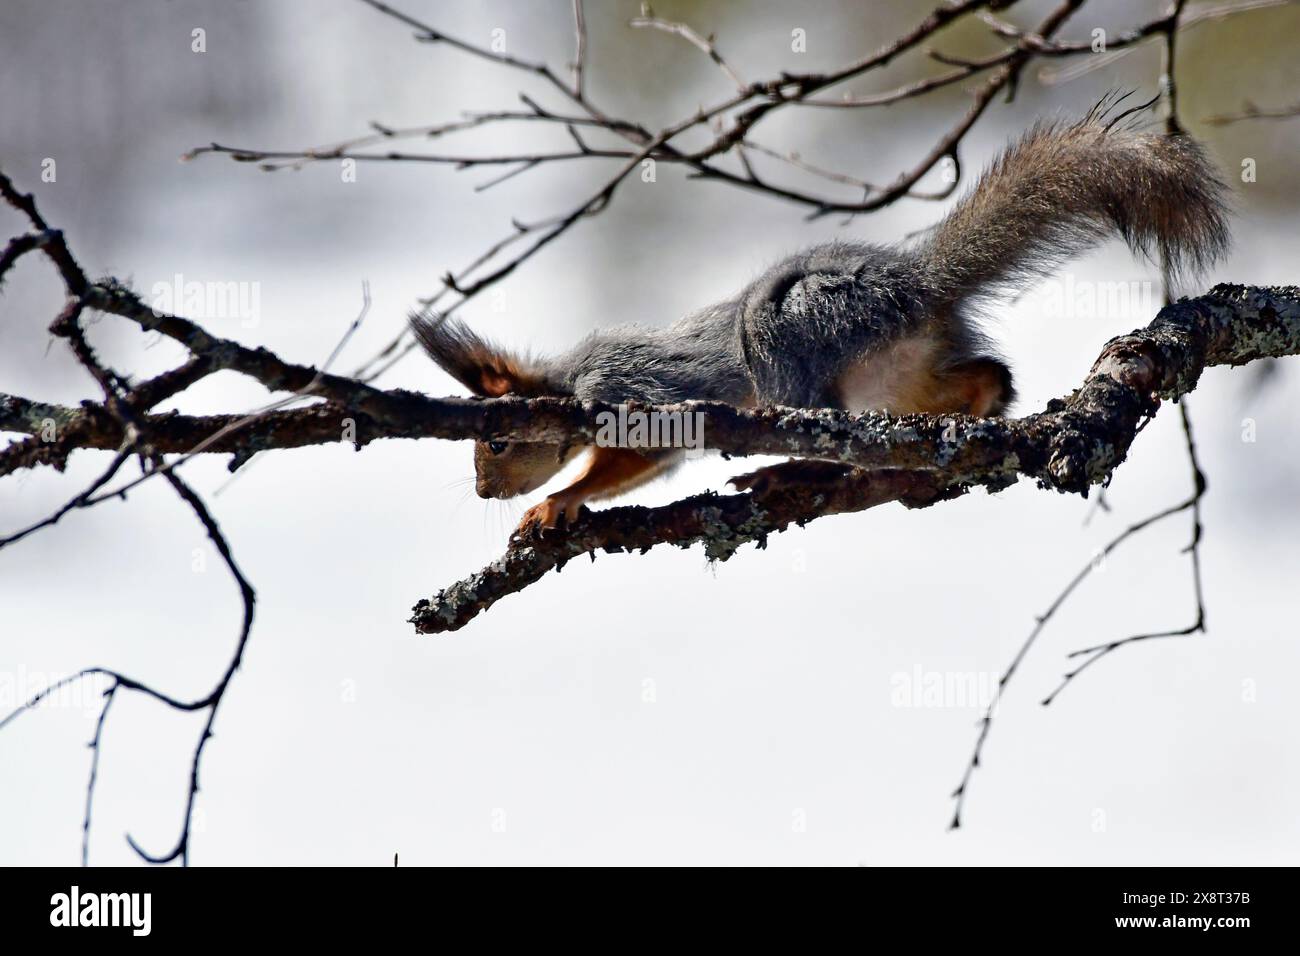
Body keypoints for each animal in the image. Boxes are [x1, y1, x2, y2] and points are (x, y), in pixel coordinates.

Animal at [412, 98, 1231, 538]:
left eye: (496, 441)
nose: (482, 492)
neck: (571, 381)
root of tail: (922, 291)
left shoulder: (632, 398)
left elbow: (637, 459)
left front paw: (554, 503)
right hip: (896, 383)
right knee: (981, 380)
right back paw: (963, 421)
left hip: (788, 341)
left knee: (829, 442)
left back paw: (787, 467)